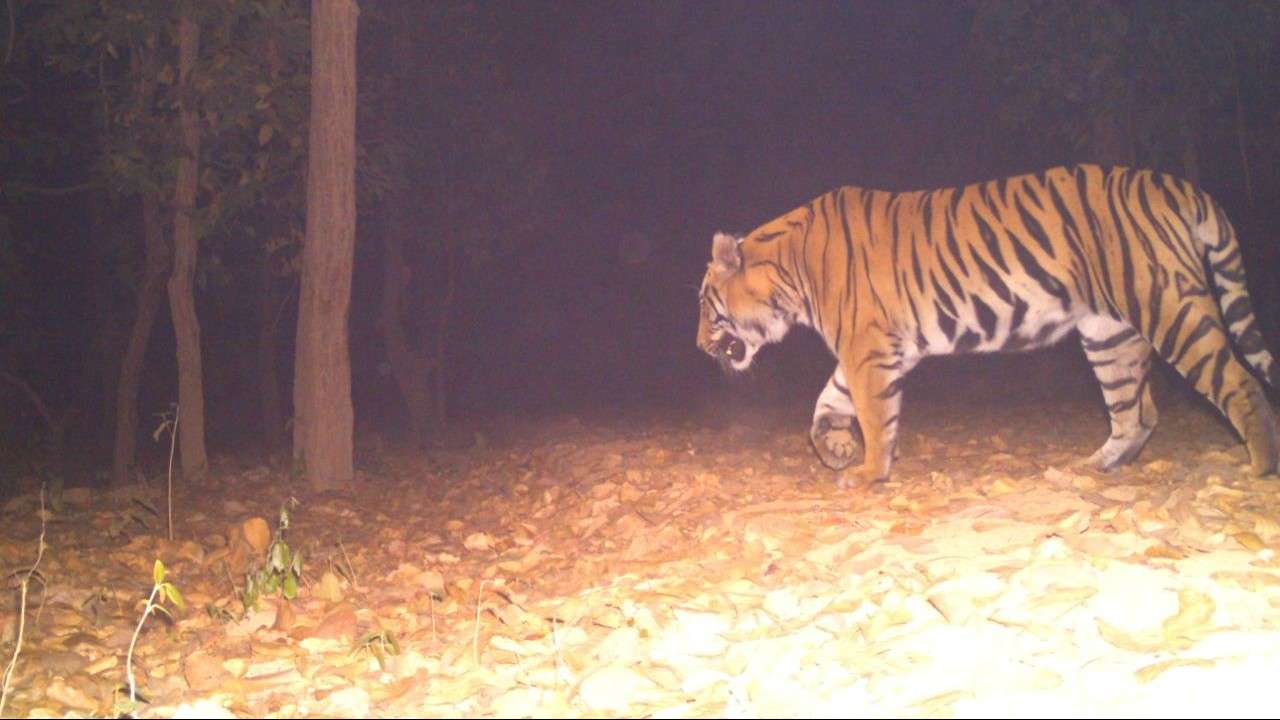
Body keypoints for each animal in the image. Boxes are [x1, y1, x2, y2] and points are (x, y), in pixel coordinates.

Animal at [696, 164, 1279, 487]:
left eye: (704, 304)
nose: (699, 347)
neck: (789, 273)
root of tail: (1181, 187)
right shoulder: (882, 350)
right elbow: (826, 402)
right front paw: (836, 449)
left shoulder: (868, 349)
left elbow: (872, 414)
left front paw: (868, 472)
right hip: (1108, 333)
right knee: (1136, 411)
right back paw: (1094, 466)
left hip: (1170, 307)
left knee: (1239, 383)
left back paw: (1259, 468)